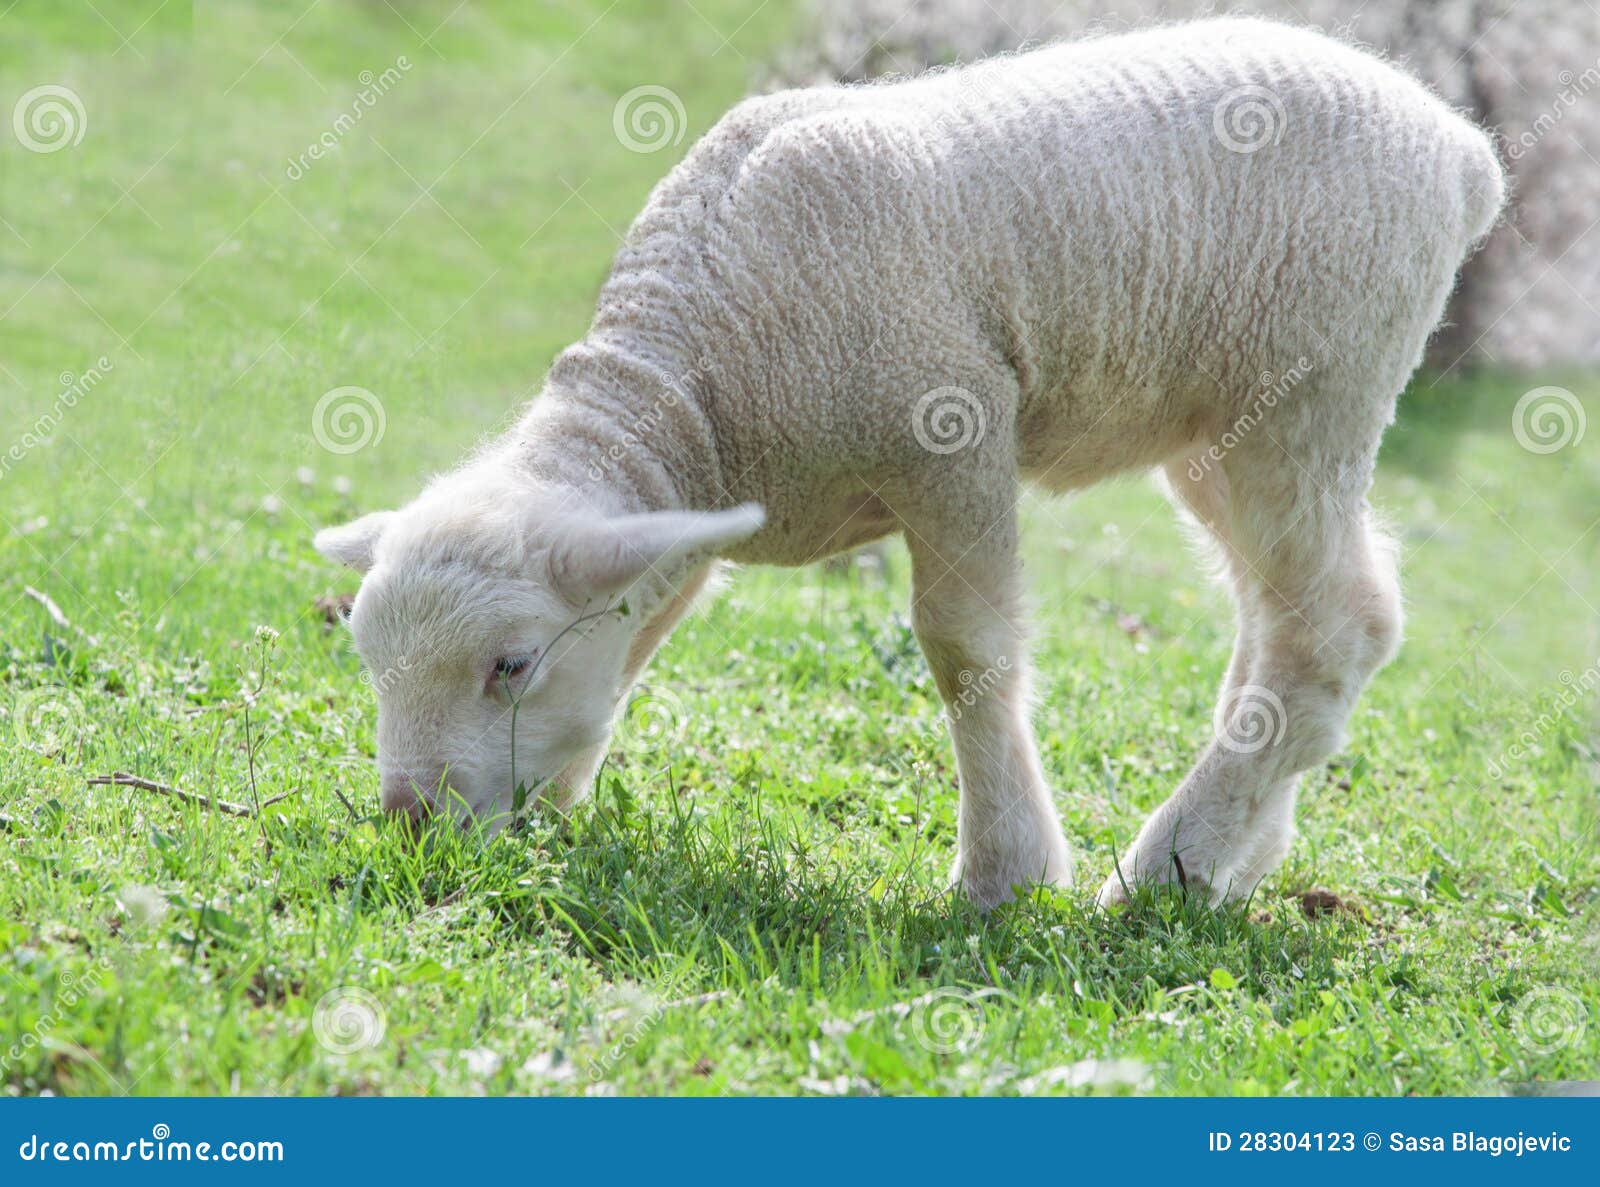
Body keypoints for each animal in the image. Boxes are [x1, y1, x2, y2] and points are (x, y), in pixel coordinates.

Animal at [315, 17, 1505, 910]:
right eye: (364, 653)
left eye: (509, 665)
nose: (409, 825)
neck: (701, 382)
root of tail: (1462, 152)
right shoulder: (688, 514)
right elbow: (637, 641)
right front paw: (559, 809)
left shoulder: (953, 430)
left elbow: (965, 649)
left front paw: (1005, 875)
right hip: (1223, 424)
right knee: (1312, 617)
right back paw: (1230, 859)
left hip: (1313, 386)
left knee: (1327, 628)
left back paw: (1169, 871)